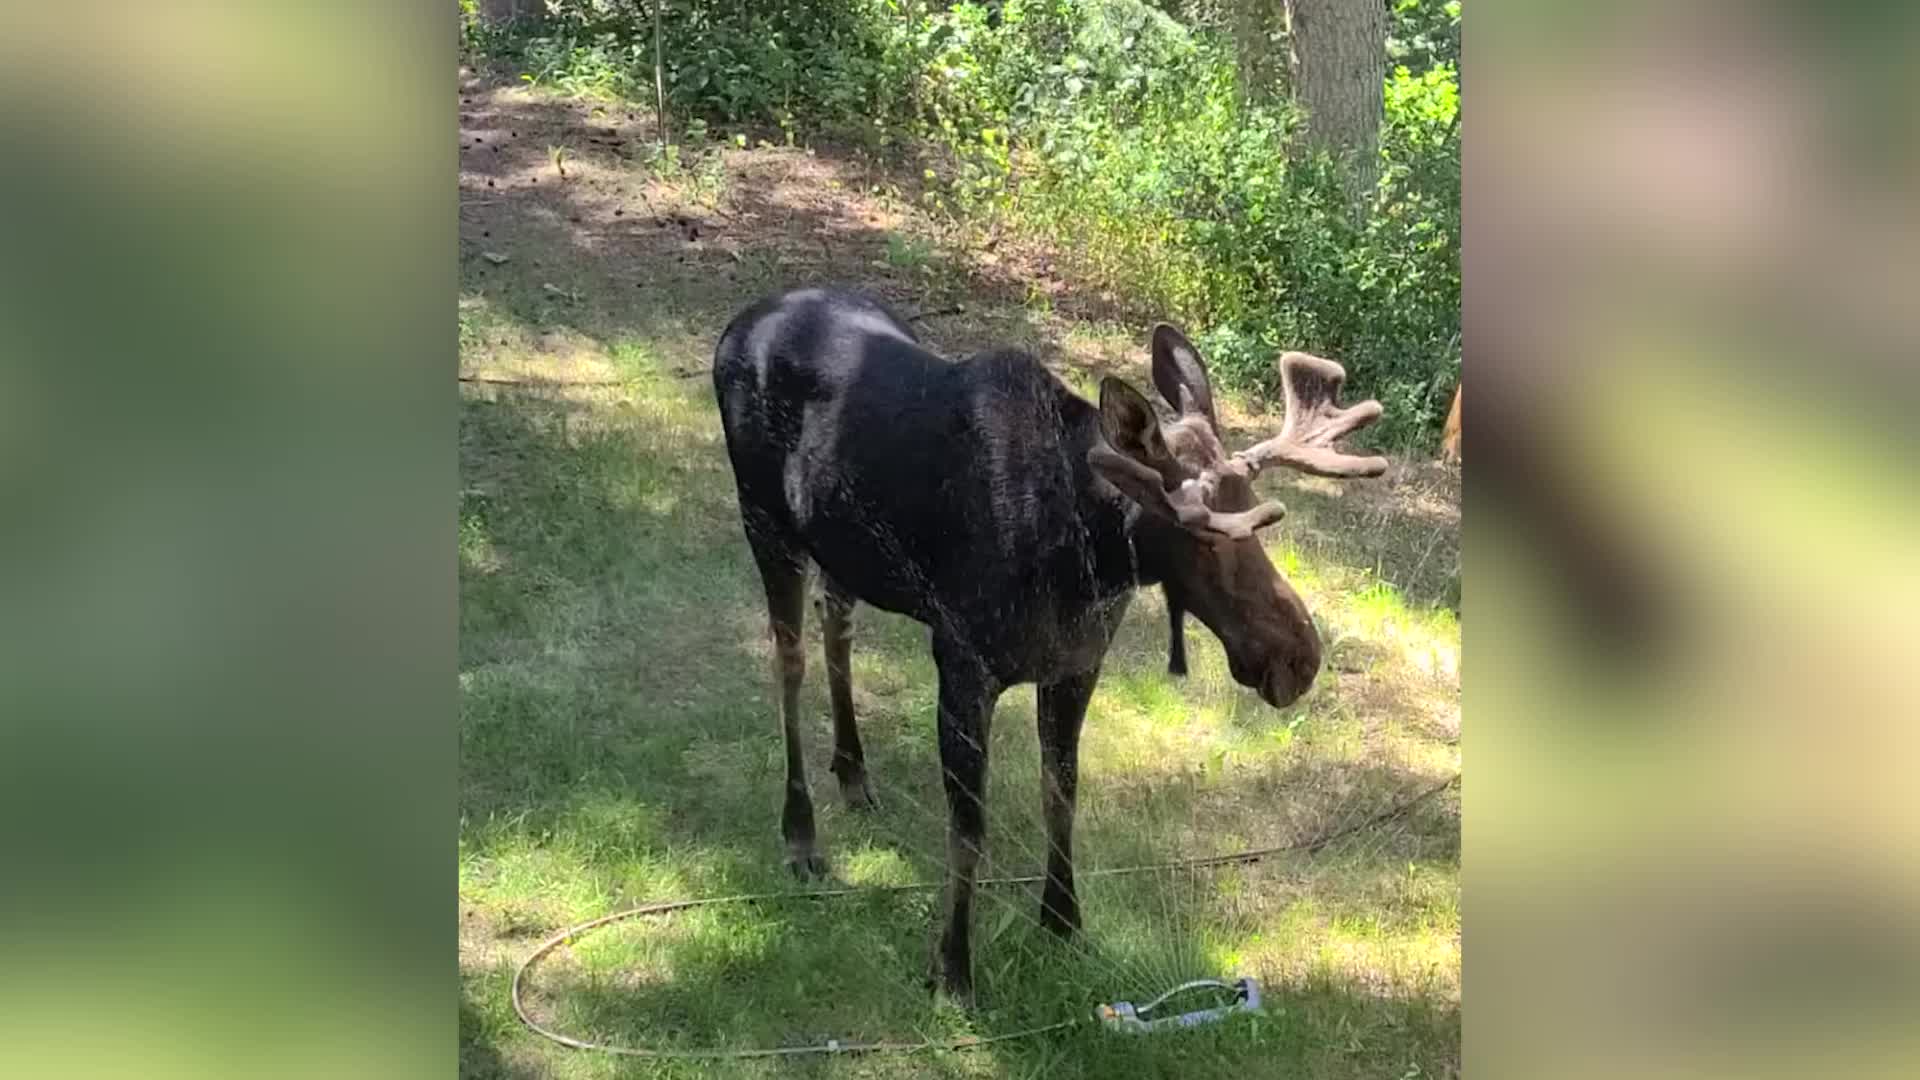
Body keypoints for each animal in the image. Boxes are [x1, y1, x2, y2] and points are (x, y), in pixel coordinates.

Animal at [712, 288, 1387, 1004]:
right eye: (1205, 536)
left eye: (1254, 508)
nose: (1299, 656)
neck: (1086, 556)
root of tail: (739, 323)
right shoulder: (961, 661)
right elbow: (969, 828)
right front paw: (953, 969)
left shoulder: (1076, 663)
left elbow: (1061, 795)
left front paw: (1063, 919)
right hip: (764, 518)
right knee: (788, 660)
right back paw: (800, 834)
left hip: (841, 544)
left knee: (835, 624)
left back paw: (854, 774)